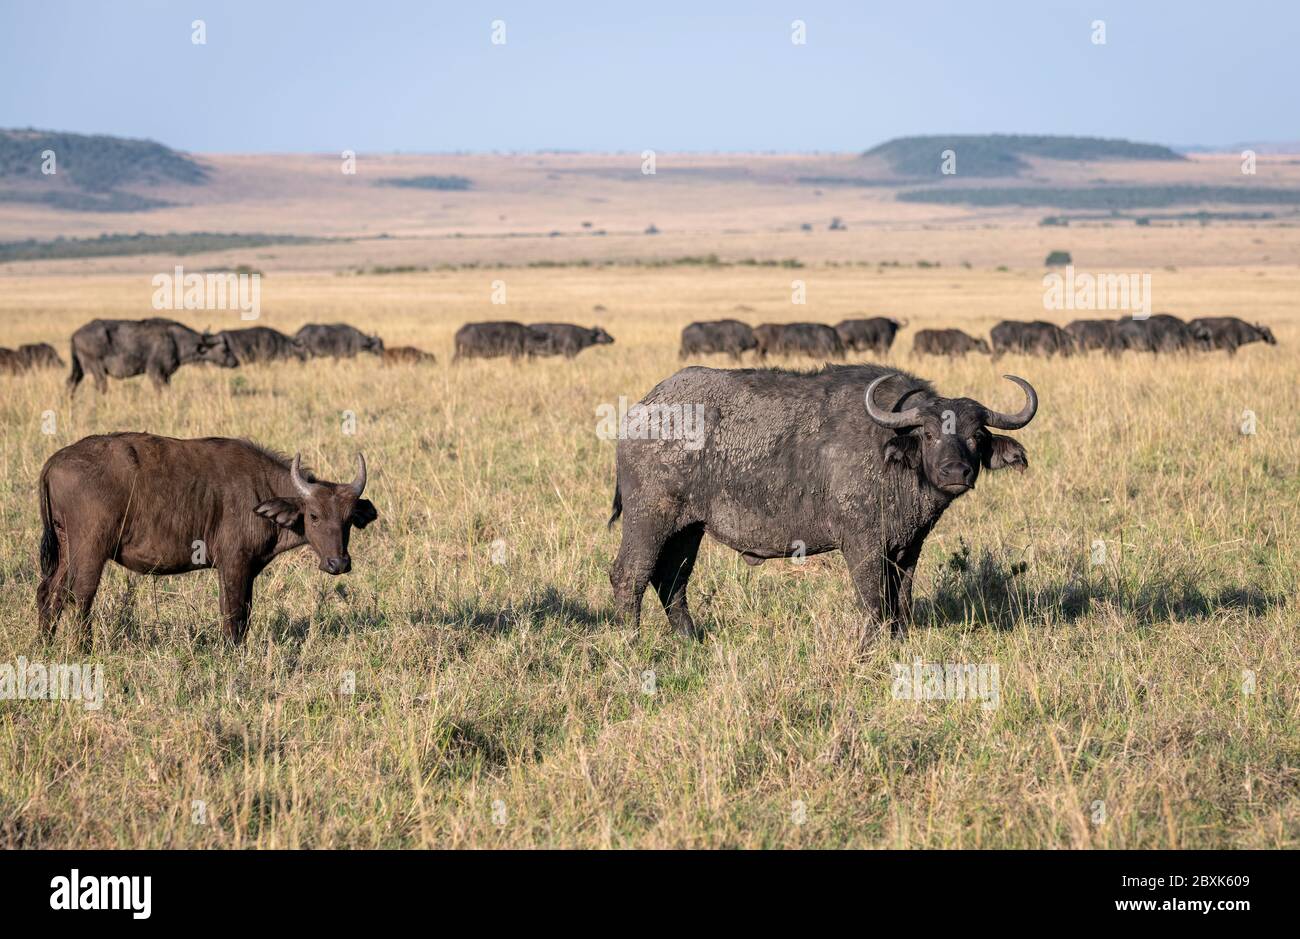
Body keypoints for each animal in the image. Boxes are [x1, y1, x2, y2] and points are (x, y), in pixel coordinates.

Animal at [37, 433, 378, 646]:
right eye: (314, 516)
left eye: (348, 519)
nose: (338, 563)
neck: (261, 490)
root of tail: (55, 460)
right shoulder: (234, 564)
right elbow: (234, 613)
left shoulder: (240, 570)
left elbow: (240, 613)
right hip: (90, 550)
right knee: (81, 597)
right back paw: (82, 649)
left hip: (66, 550)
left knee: (49, 593)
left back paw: (46, 643)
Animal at [67, 318, 239, 394]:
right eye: (225, 349)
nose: (235, 362)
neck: (175, 341)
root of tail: (75, 334)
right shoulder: (154, 372)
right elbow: (159, 391)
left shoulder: (166, 375)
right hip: (97, 371)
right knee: (100, 387)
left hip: (78, 370)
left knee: (71, 383)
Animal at [608, 365, 1037, 639]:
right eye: (930, 434)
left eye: (976, 436)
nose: (956, 472)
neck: (892, 458)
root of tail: (642, 411)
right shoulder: (863, 546)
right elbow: (875, 600)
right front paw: (871, 645)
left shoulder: (909, 547)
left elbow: (902, 599)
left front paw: (899, 640)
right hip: (650, 519)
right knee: (629, 575)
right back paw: (633, 641)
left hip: (688, 528)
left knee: (671, 579)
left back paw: (689, 638)